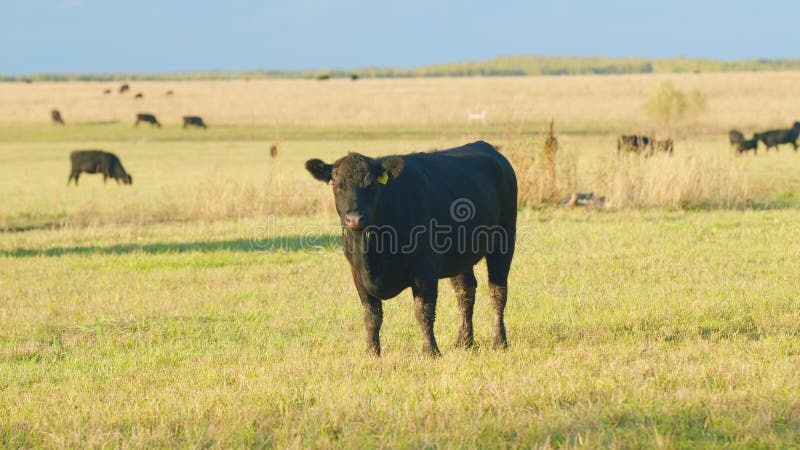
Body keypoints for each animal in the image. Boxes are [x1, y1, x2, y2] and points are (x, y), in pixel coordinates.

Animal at [305, 141, 517, 357]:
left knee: (497, 292)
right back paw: (464, 342)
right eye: (337, 185)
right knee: (465, 292)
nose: (355, 219)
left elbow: (423, 311)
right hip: (461, 257)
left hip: (504, 242)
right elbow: (371, 316)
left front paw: (430, 351)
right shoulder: (357, 274)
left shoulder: (425, 269)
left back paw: (499, 341)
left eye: (371, 185)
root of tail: (485, 146)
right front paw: (372, 353)